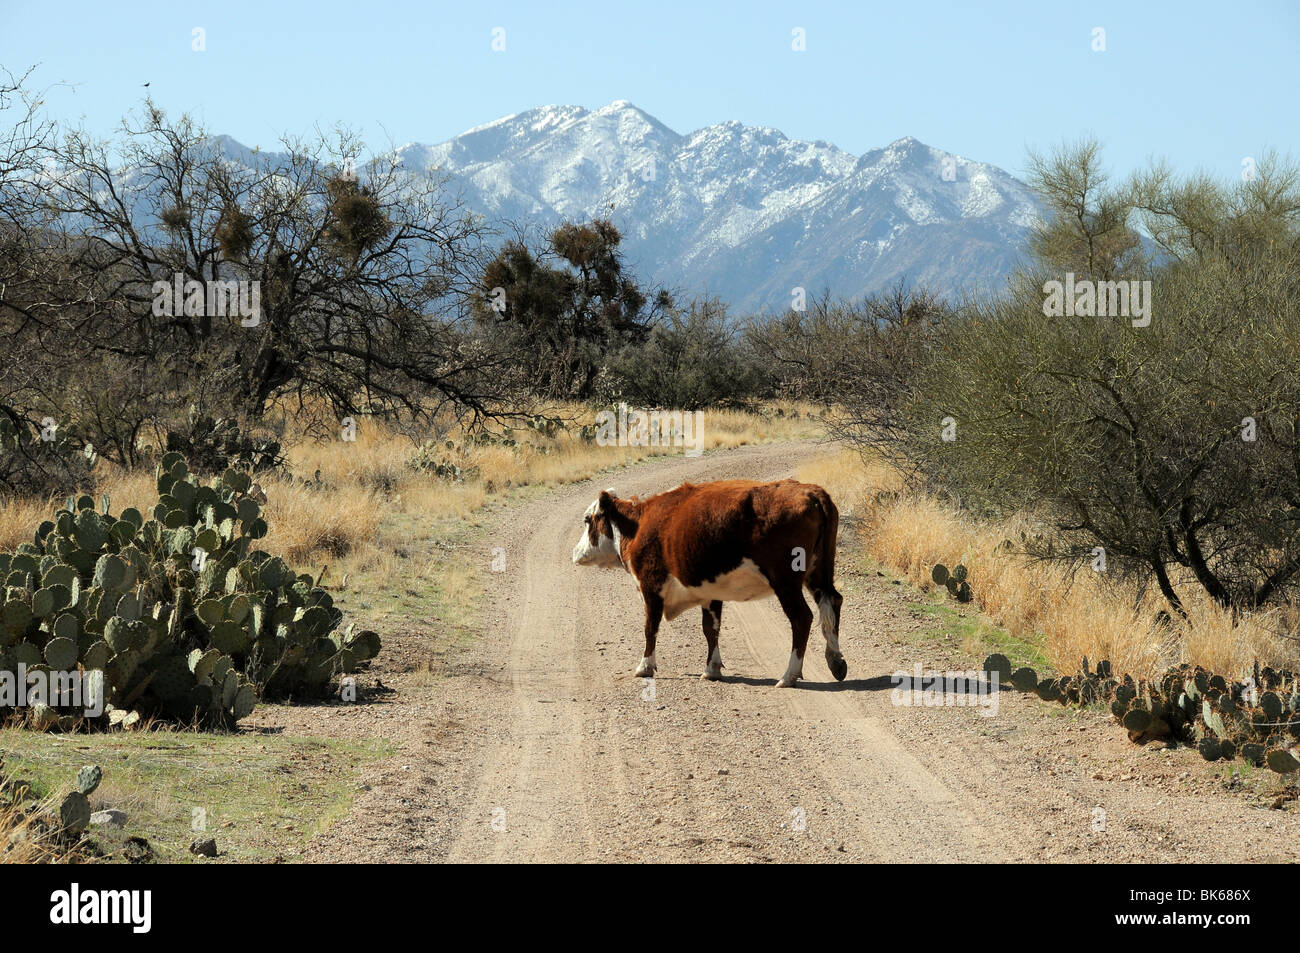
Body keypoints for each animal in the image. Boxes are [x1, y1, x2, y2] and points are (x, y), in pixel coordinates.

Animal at [571, 479, 846, 688]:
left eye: (587, 519)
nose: (575, 553)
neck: (639, 525)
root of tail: (810, 490)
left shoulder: (651, 587)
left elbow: (650, 628)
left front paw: (644, 666)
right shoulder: (711, 593)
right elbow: (710, 629)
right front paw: (711, 669)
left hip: (786, 582)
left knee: (802, 618)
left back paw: (789, 675)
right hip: (819, 573)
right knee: (832, 602)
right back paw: (836, 661)